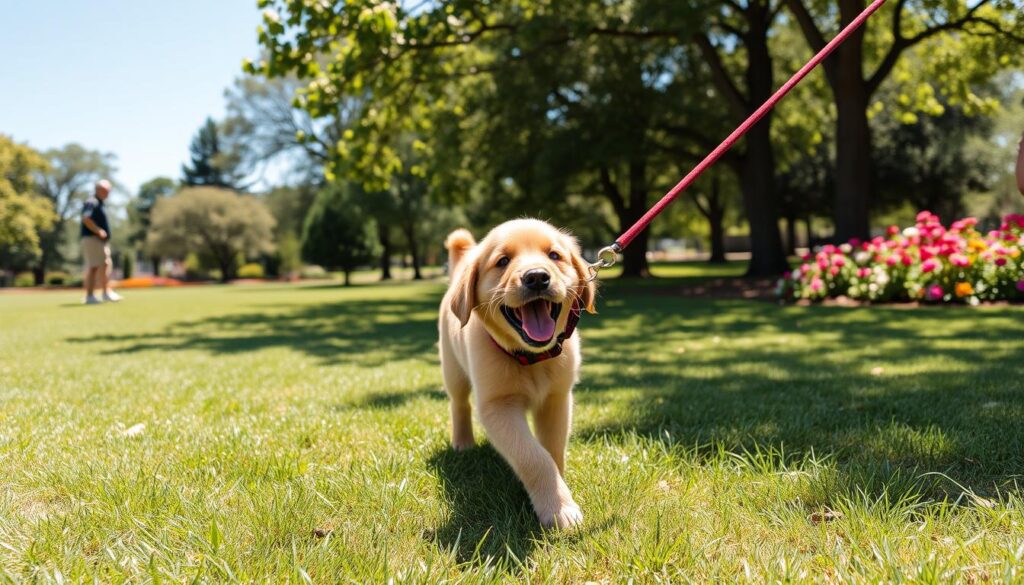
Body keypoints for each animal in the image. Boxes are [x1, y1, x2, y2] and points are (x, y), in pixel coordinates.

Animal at [436, 219, 598, 532]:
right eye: (502, 261)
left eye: (554, 256)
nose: (536, 277)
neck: (532, 357)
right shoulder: (498, 407)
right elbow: (534, 457)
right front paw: (558, 508)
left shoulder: (557, 399)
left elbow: (552, 449)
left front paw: (559, 492)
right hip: (452, 367)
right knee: (459, 404)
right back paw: (463, 442)